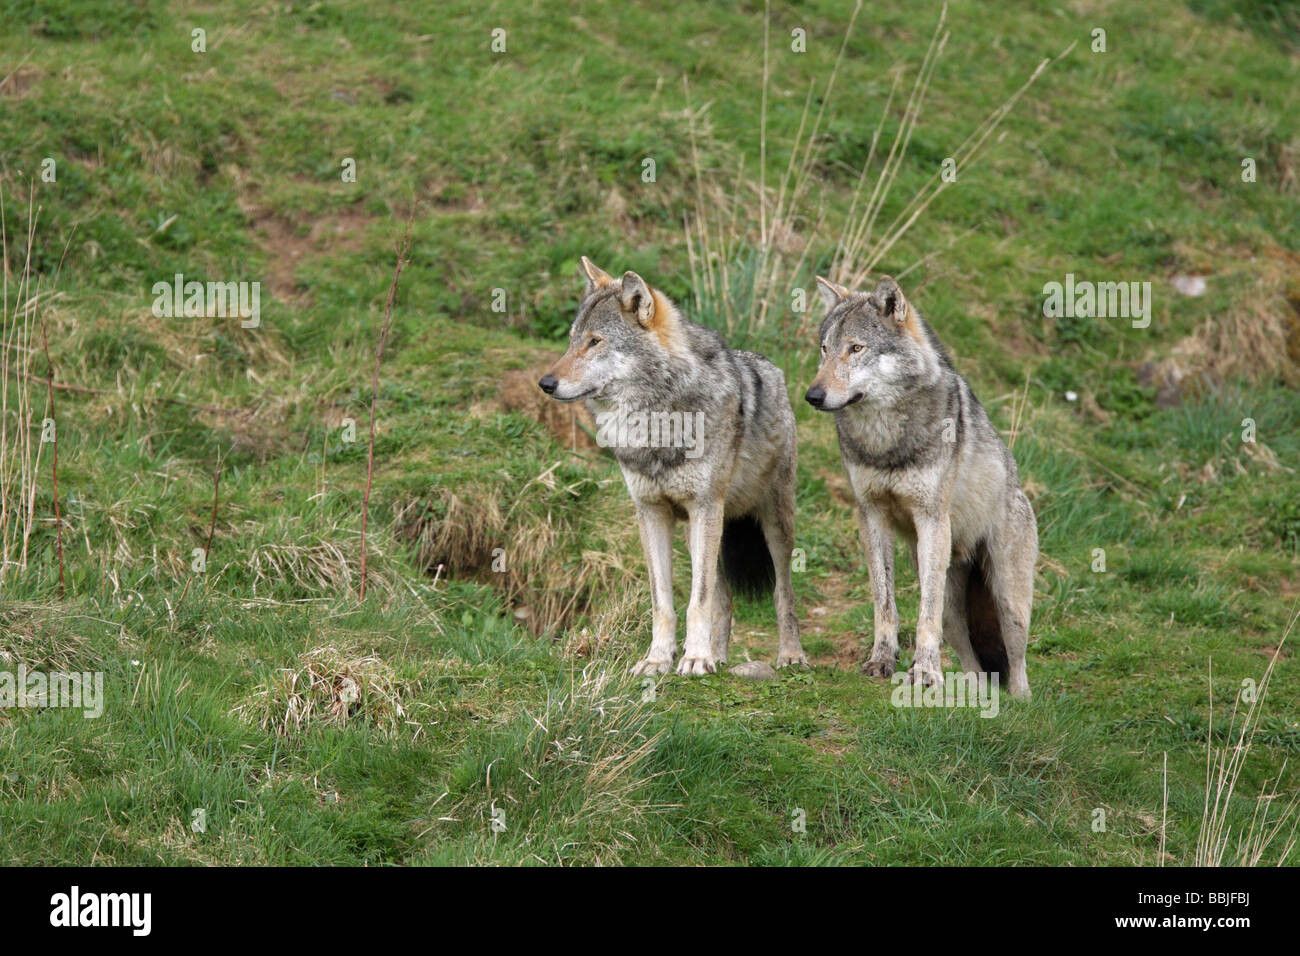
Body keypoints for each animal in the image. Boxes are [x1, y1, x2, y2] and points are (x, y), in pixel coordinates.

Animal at [539, 257, 807, 676]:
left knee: (783, 593)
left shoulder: (704, 507)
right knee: (723, 596)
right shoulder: (652, 513)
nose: (545, 383)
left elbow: (697, 600)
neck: (656, 424)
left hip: (770, 525)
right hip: (705, 530)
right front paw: (659, 659)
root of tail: (769, 366)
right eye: (571, 340)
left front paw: (694, 658)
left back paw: (790, 655)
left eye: (595, 341)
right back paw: (718, 655)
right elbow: (664, 602)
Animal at [805, 275, 1036, 698]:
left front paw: (925, 672)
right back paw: (972, 692)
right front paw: (882, 661)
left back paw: (1020, 701)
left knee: (1016, 662)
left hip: (1008, 602)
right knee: (971, 658)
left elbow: (923, 614)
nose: (813, 396)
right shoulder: (871, 516)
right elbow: (885, 604)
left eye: (856, 348)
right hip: (954, 607)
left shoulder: (931, 519)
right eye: (825, 349)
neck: (884, 439)